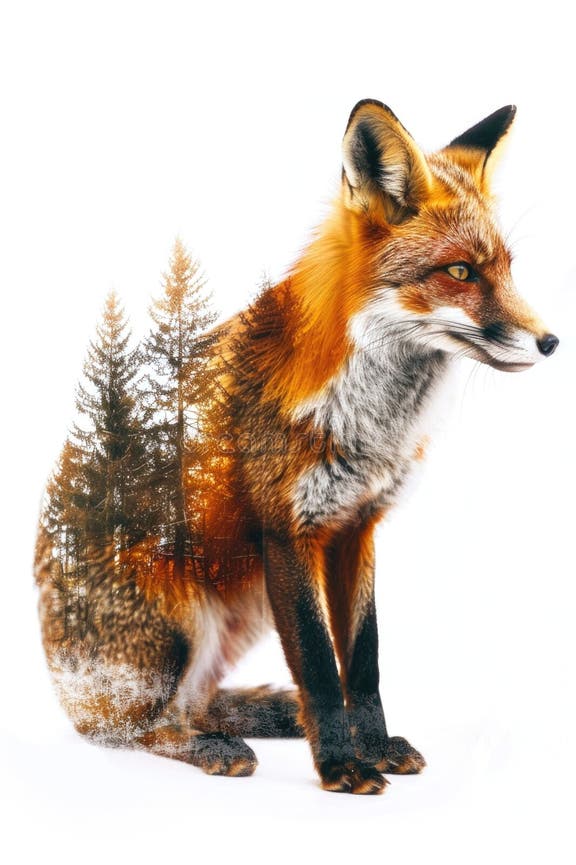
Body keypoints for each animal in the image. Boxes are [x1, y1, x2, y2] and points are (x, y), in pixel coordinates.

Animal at [36, 99, 558, 795]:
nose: (551, 342)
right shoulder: (288, 532)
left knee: (190, 704)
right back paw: (214, 747)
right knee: (134, 727)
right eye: (459, 272)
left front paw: (375, 746)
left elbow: (361, 664)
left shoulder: (356, 527)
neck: (370, 423)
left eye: (505, 267)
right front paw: (340, 765)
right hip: (182, 611)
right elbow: (317, 664)